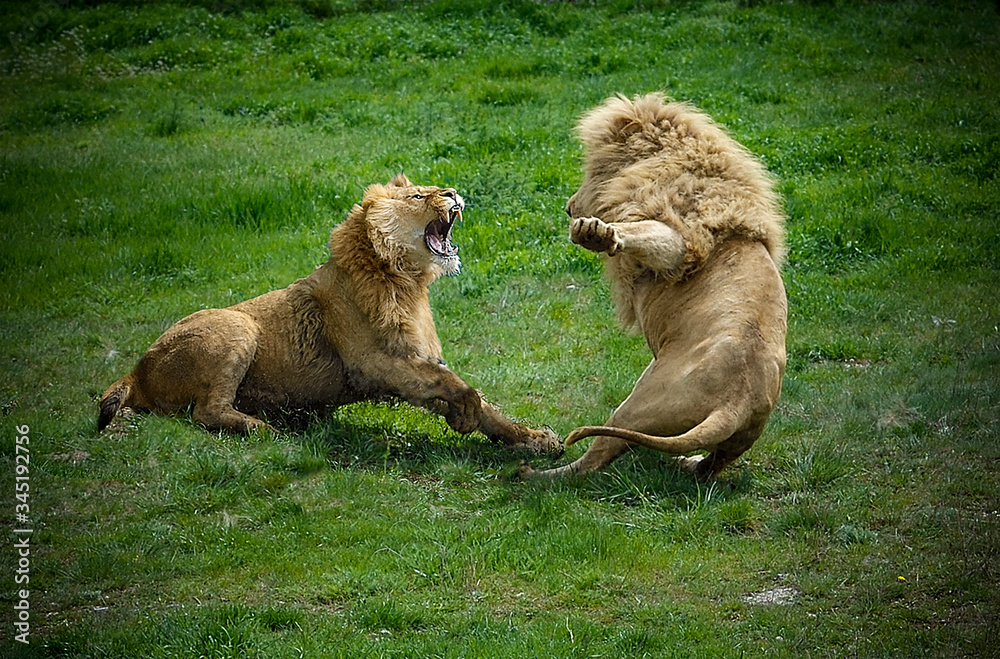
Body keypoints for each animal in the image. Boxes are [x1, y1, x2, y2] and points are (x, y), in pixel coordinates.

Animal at [97, 173, 562, 456]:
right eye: (418, 195)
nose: (451, 194)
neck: (404, 280)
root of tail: (135, 372)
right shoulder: (371, 363)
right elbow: (458, 385)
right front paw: (466, 413)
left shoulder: (413, 357)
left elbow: (481, 402)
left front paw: (534, 439)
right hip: (236, 325)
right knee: (206, 412)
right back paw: (267, 430)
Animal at [520, 93, 787, 480]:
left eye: (590, 173)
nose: (568, 208)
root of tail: (735, 402)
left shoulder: (682, 241)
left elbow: (642, 233)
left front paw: (595, 233)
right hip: (738, 437)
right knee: (711, 466)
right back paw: (686, 463)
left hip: (638, 405)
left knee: (594, 459)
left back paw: (534, 474)